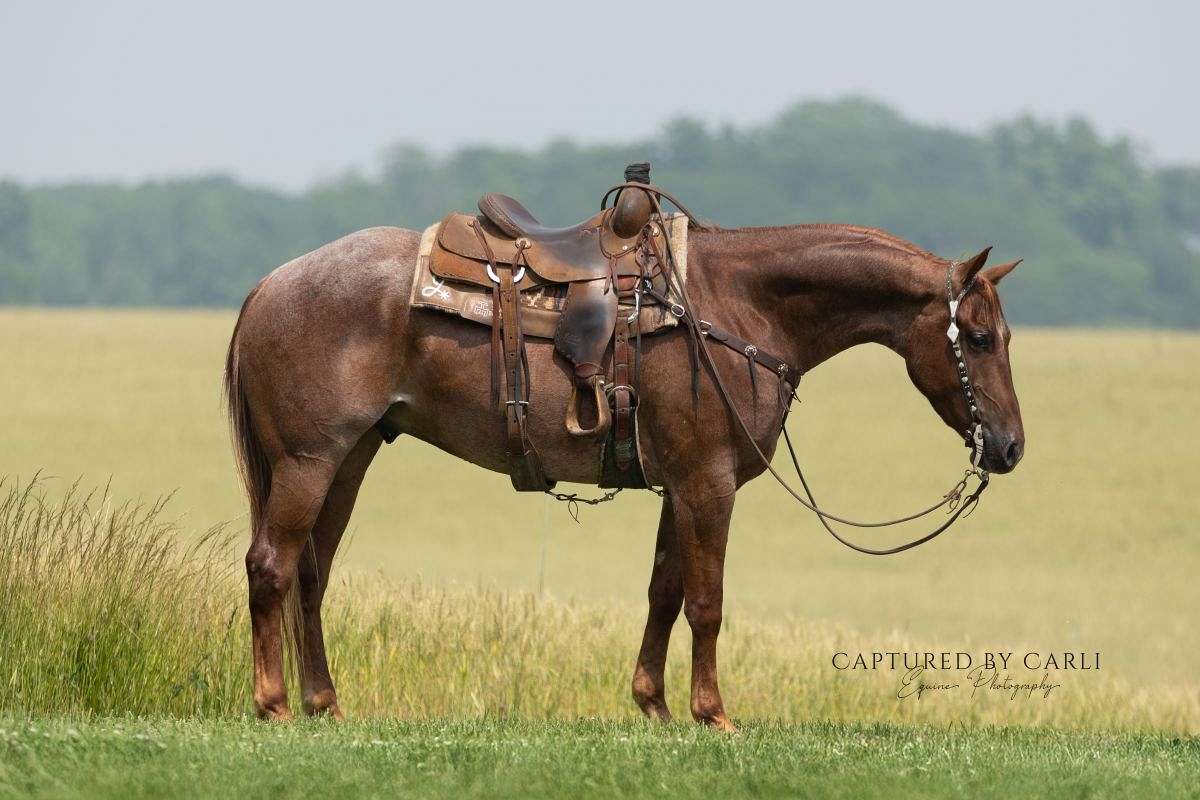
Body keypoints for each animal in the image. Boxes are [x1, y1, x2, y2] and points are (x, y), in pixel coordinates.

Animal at [224, 209, 1025, 729]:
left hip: (350, 459)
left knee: (312, 574)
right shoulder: (708, 483)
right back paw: (272, 705)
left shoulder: (682, 484)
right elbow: (707, 601)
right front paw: (712, 714)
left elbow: (664, 592)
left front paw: (655, 704)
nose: (1011, 447)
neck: (739, 307)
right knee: (271, 565)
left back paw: (324, 703)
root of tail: (268, 284)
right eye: (979, 337)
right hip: (308, 462)